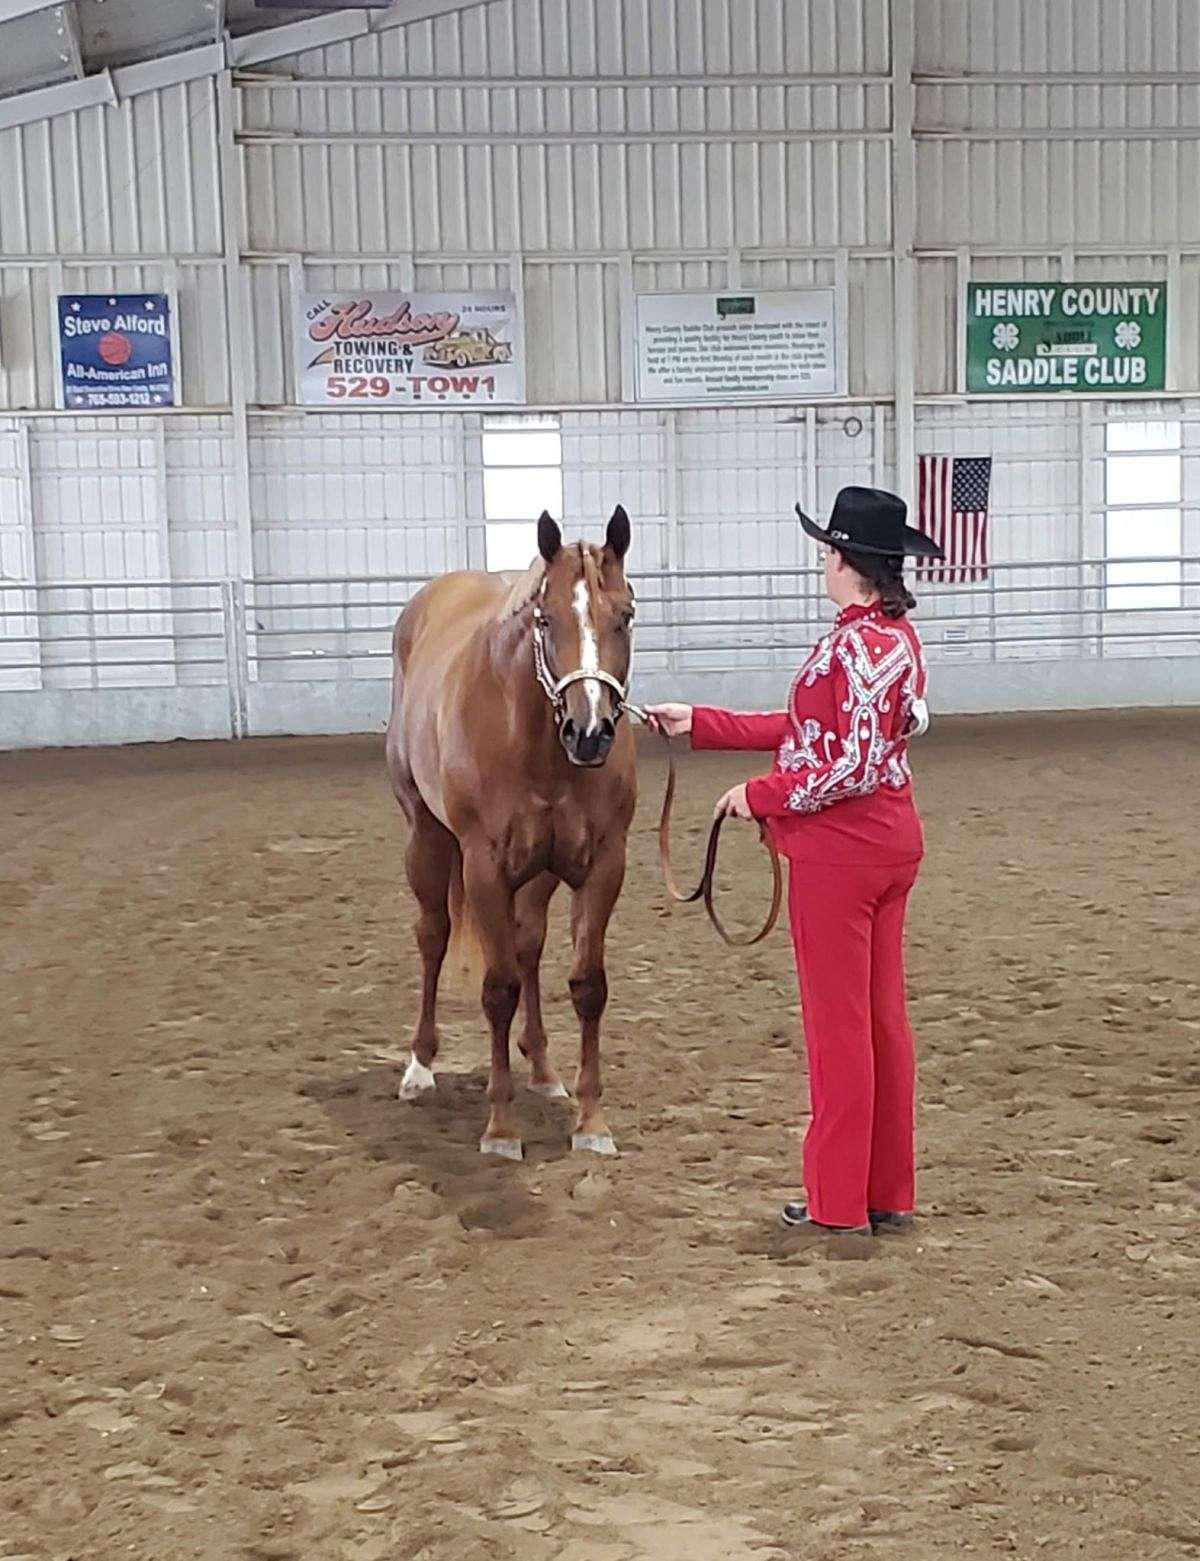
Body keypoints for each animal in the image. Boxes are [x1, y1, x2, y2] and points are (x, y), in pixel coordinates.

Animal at [385, 507, 638, 1161]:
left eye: (625, 615)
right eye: (546, 620)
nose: (590, 732)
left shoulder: (603, 865)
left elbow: (587, 986)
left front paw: (591, 1121)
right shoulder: (483, 868)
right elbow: (497, 990)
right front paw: (500, 1129)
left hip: (540, 872)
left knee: (527, 946)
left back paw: (544, 1070)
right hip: (425, 839)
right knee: (433, 937)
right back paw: (419, 1067)